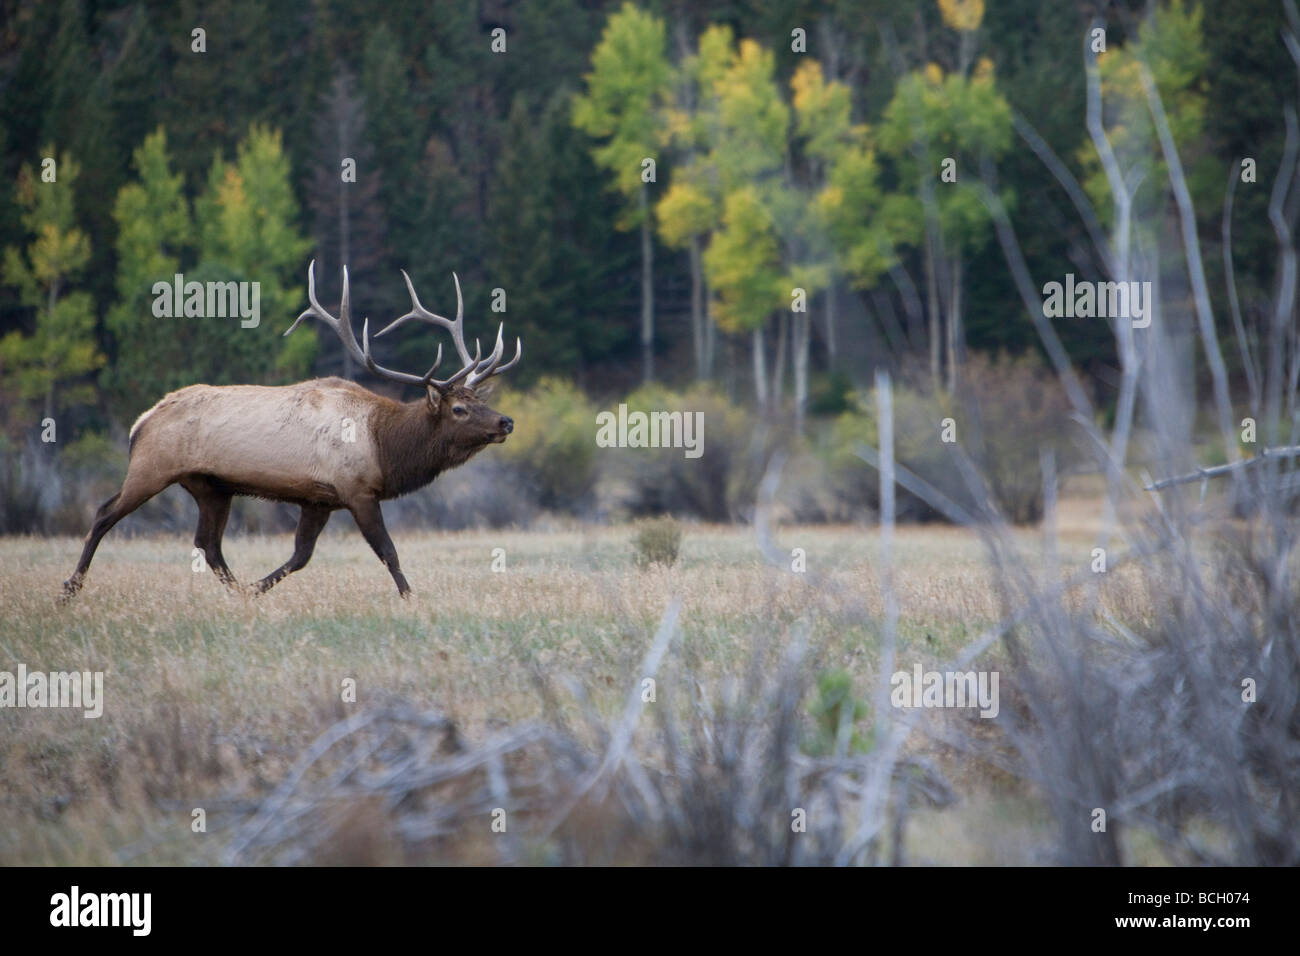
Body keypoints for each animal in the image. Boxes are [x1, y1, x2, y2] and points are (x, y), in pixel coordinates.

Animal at [60, 261, 521, 600]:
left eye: (480, 400)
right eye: (459, 408)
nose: (505, 421)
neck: (384, 445)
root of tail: (141, 422)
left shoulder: (318, 500)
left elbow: (301, 556)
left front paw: (257, 588)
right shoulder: (356, 490)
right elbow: (388, 552)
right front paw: (412, 598)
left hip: (211, 486)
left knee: (208, 544)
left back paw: (238, 592)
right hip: (152, 467)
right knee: (104, 514)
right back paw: (70, 587)